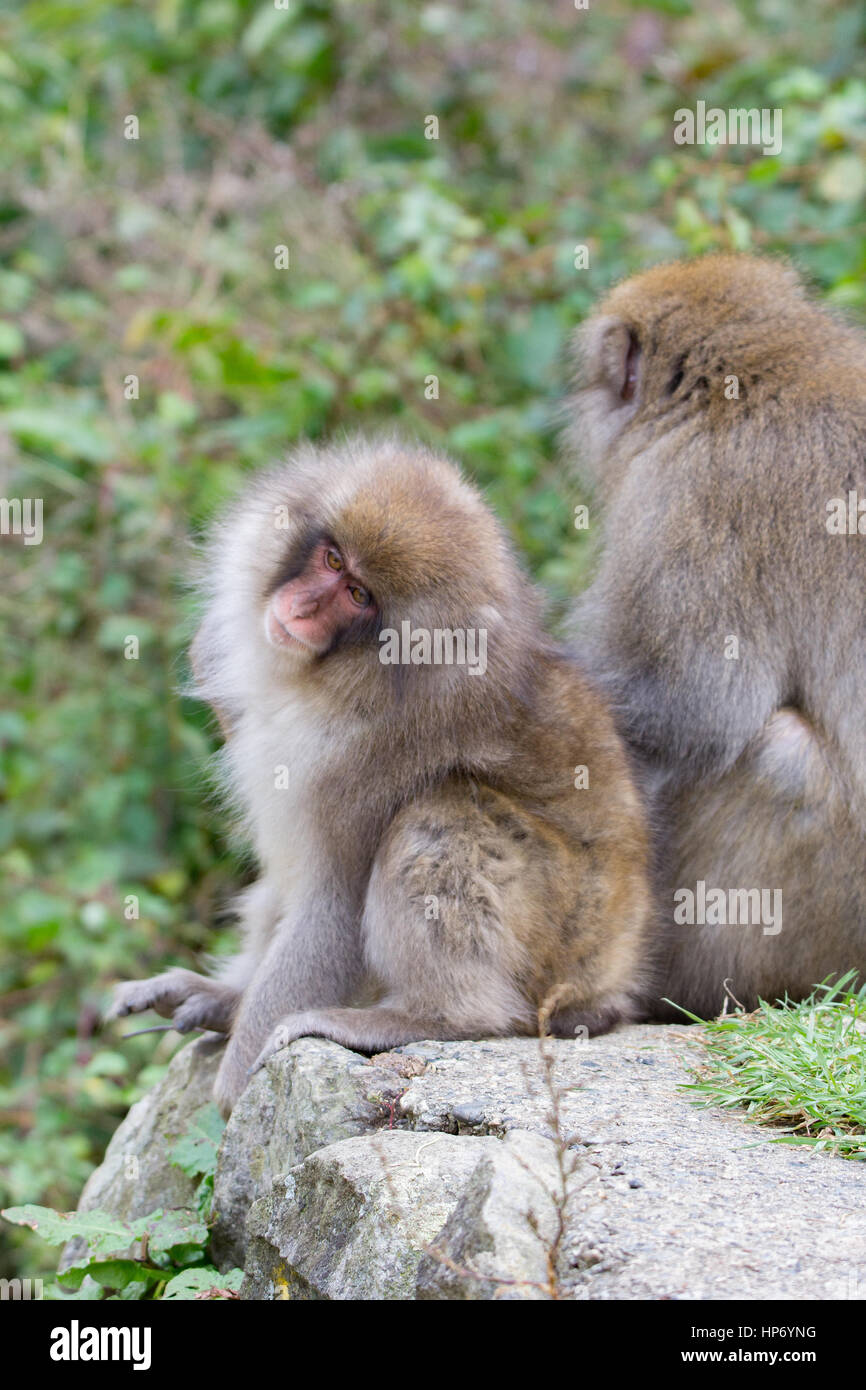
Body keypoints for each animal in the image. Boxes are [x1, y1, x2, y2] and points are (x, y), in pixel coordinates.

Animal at [109, 436, 652, 1113]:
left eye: (359, 596)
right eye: (331, 558)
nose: (301, 607)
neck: (328, 677)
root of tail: (617, 971)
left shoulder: (377, 756)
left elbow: (335, 901)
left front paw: (231, 1098)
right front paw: (228, 1000)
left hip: (569, 934)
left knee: (443, 809)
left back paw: (434, 1017)